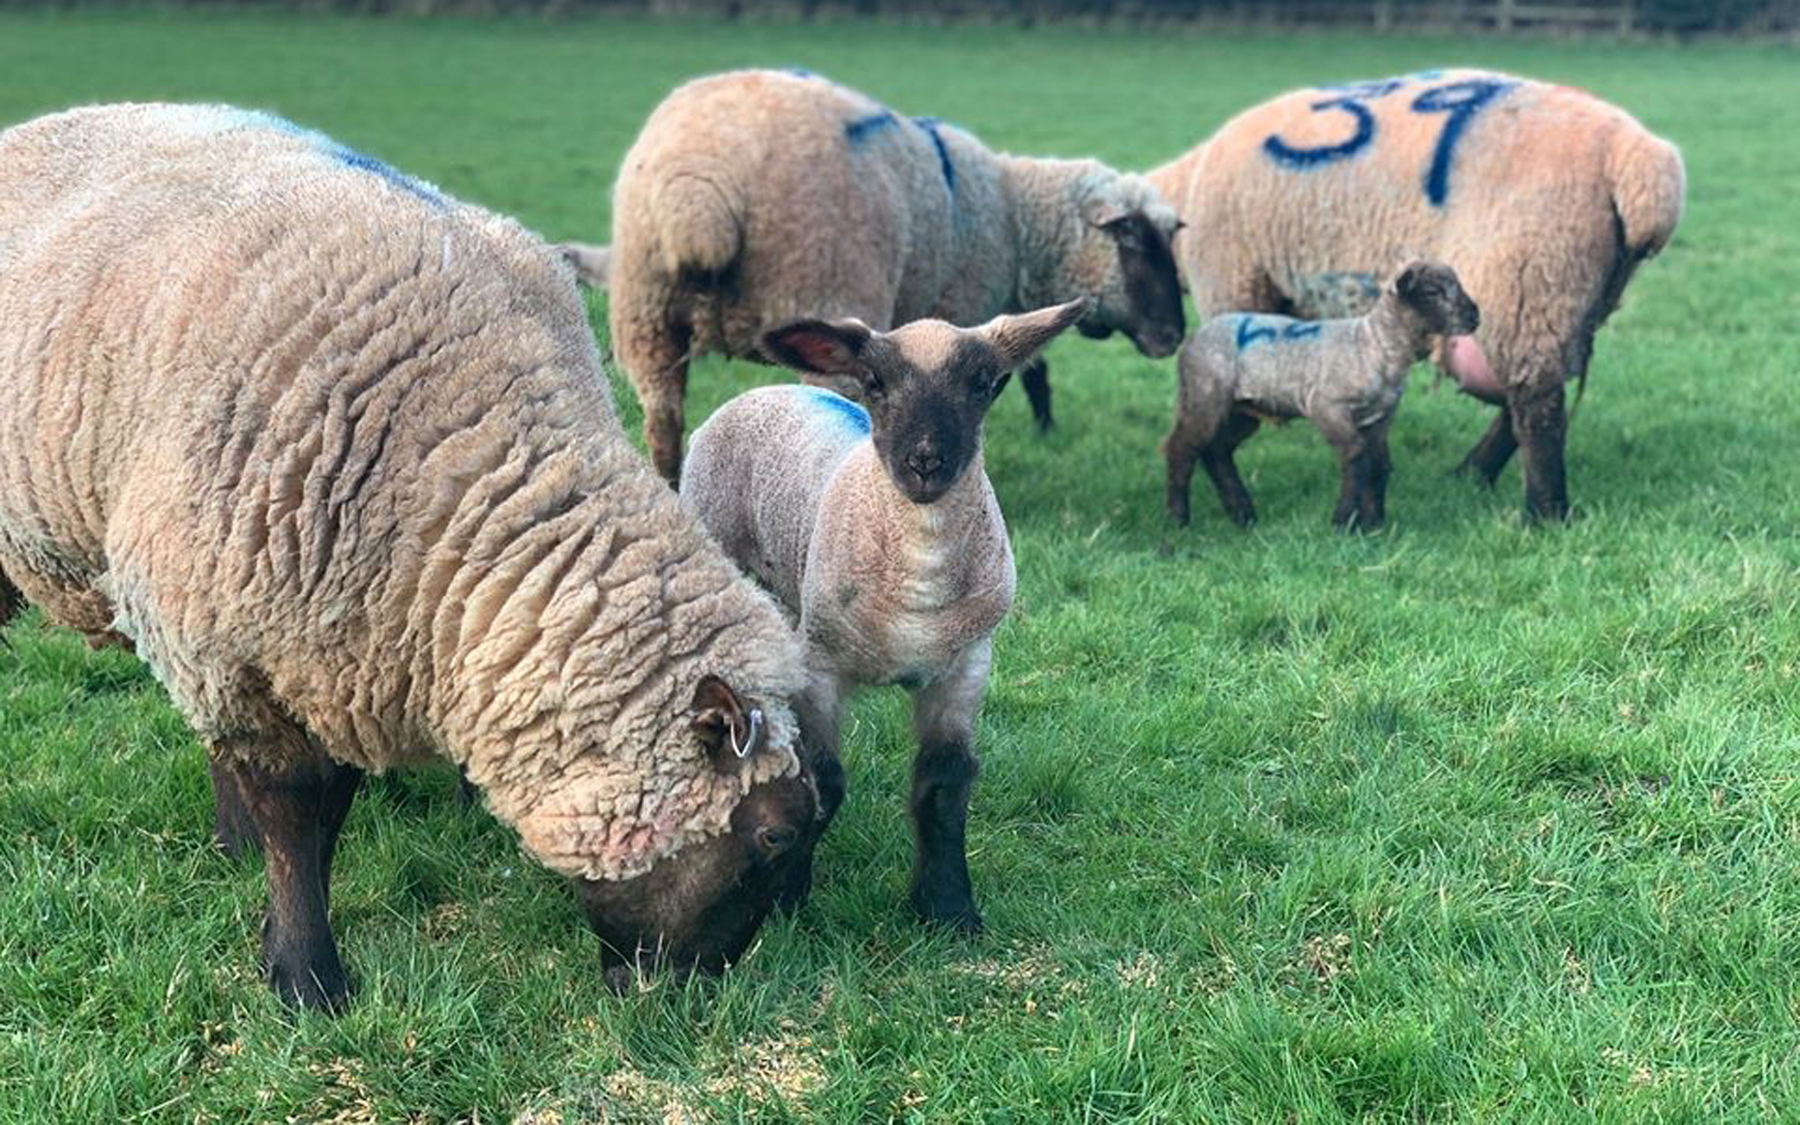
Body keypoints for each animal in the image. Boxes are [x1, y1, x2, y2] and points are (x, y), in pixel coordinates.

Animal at [0, 103, 823, 1010]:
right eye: (776, 836)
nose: (682, 990)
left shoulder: (334, 642)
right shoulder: (245, 635)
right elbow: (299, 810)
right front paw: (306, 974)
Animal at [608, 67, 1185, 481]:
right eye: (1132, 238)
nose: (1175, 336)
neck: (1014, 216)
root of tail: (698, 185)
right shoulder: (957, 314)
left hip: (646, 315)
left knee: (663, 421)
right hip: (823, 291)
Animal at [679, 298, 1089, 933]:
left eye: (984, 383)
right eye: (873, 382)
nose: (924, 462)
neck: (918, 586)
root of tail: (768, 386)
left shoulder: (964, 669)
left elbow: (944, 784)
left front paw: (948, 910)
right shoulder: (820, 666)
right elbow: (824, 782)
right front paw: (789, 901)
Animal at [1164, 260, 1479, 531]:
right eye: (1433, 292)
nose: (1475, 316)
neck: (1376, 345)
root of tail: (1192, 340)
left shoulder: (1379, 418)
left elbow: (1379, 464)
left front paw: (1374, 524)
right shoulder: (1326, 405)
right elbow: (1356, 453)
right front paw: (1343, 522)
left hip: (1242, 409)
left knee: (1215, 451)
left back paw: (1242, 515)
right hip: (1206, 394)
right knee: (1181, 448)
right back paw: (1179, 519)